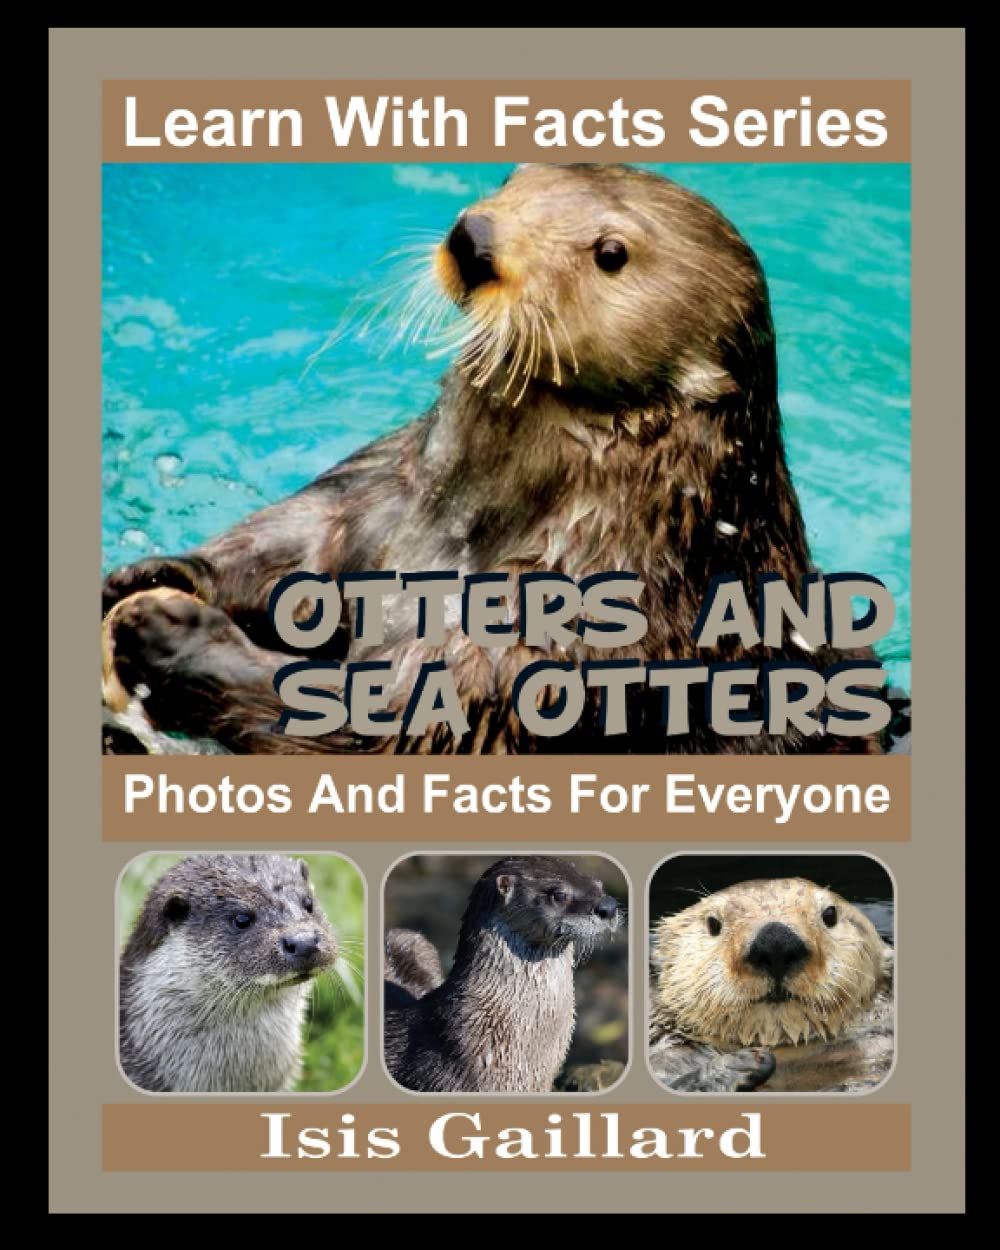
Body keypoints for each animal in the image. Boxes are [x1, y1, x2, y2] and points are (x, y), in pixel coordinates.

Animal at [102, 162, 885, 755]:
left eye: (610, 253)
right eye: (513, 175)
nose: (472, 238)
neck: (461, 533)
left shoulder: (547, 642)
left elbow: (382, 729)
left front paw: (171, 639)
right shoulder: (378, 494)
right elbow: (301, 540)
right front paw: (159, 574)